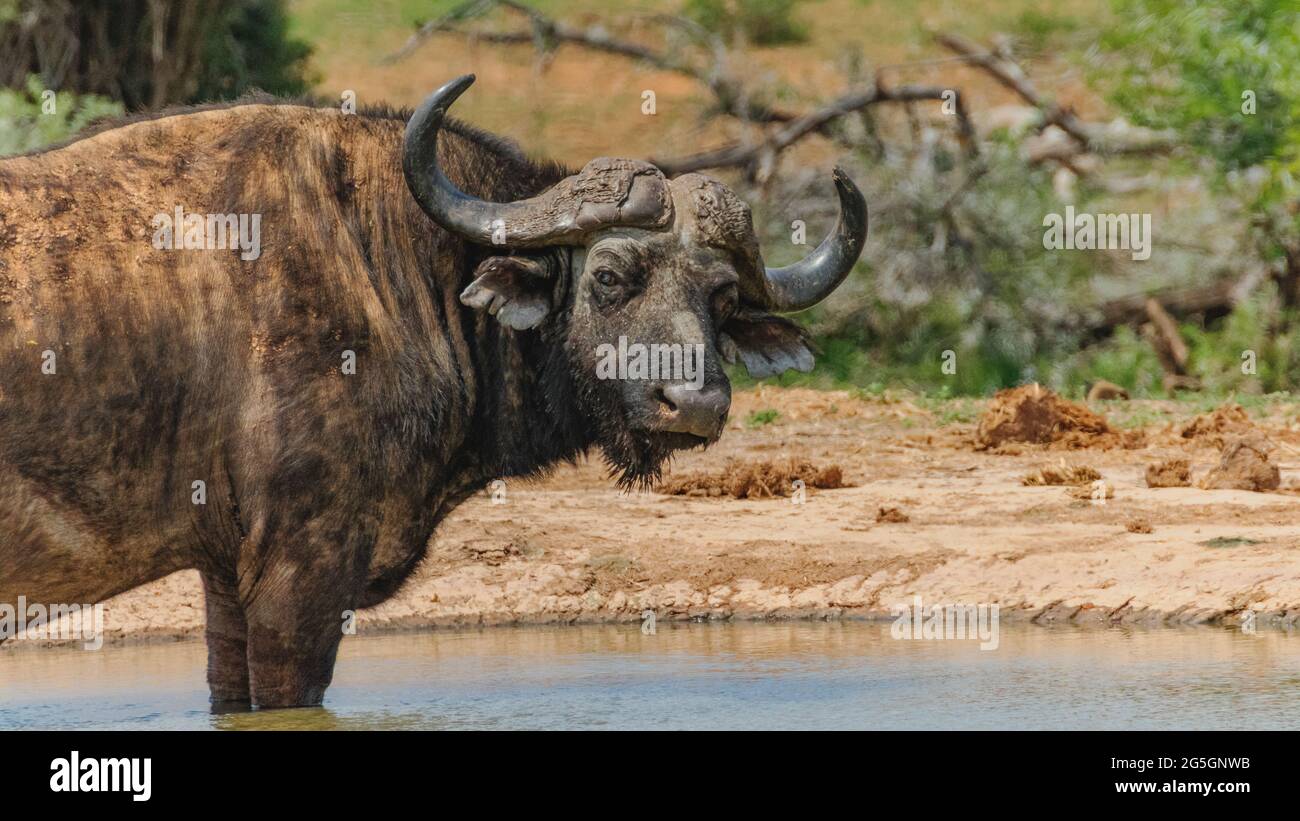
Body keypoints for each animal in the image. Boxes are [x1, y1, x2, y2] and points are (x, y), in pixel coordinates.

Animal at [0, 75, 866, 707]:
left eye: (722, 299)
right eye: (611, 275)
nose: (694, 404)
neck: (388, 257)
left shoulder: (225, 572)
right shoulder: (298, 573)